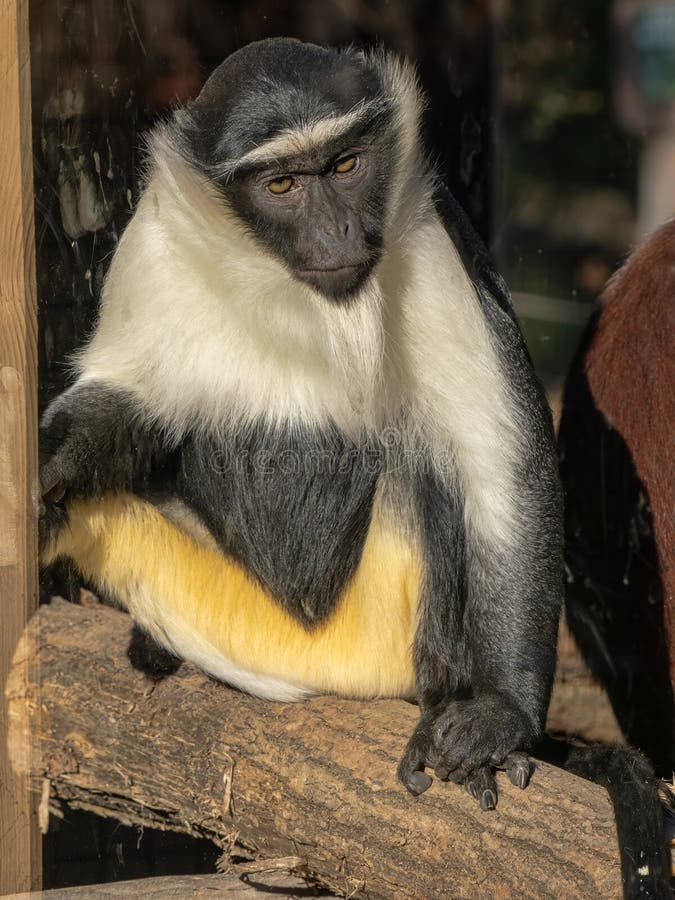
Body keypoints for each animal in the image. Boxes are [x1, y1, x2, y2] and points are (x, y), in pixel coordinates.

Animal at [39, 39, 670, 896]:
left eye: (344, 166)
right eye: (281, 185)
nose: (337, 229)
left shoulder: (429, 240)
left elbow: (496, 462)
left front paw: (501, 713)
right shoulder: (152, 245)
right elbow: (126, 407)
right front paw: (45, 473)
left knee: (416, 466)